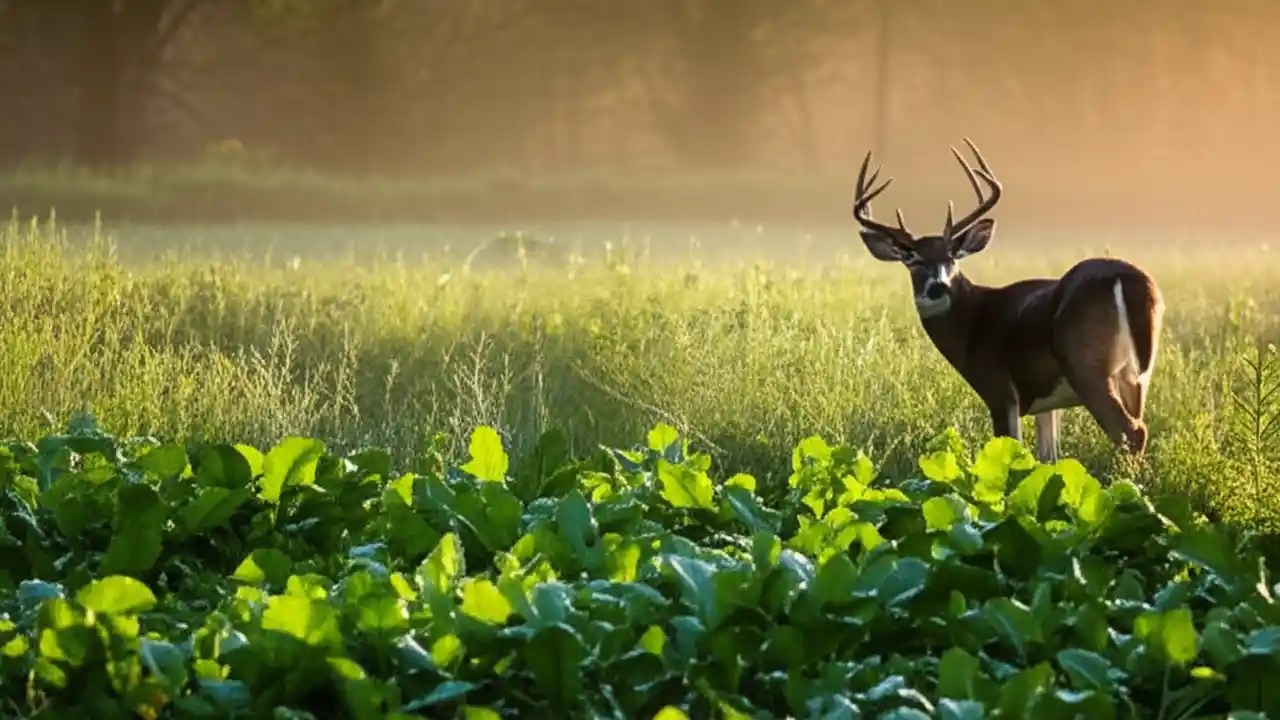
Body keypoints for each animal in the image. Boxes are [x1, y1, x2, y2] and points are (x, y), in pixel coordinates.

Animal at [851, 138, 1164, 463]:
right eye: (912, 259)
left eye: (952, 256)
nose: (938, 287)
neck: (972, 324)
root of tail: (1129, 279)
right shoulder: (1046, 403)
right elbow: (1047, 458)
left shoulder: (999, 389)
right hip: (1136, 374)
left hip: (1086, 364)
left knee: (1131, 431)